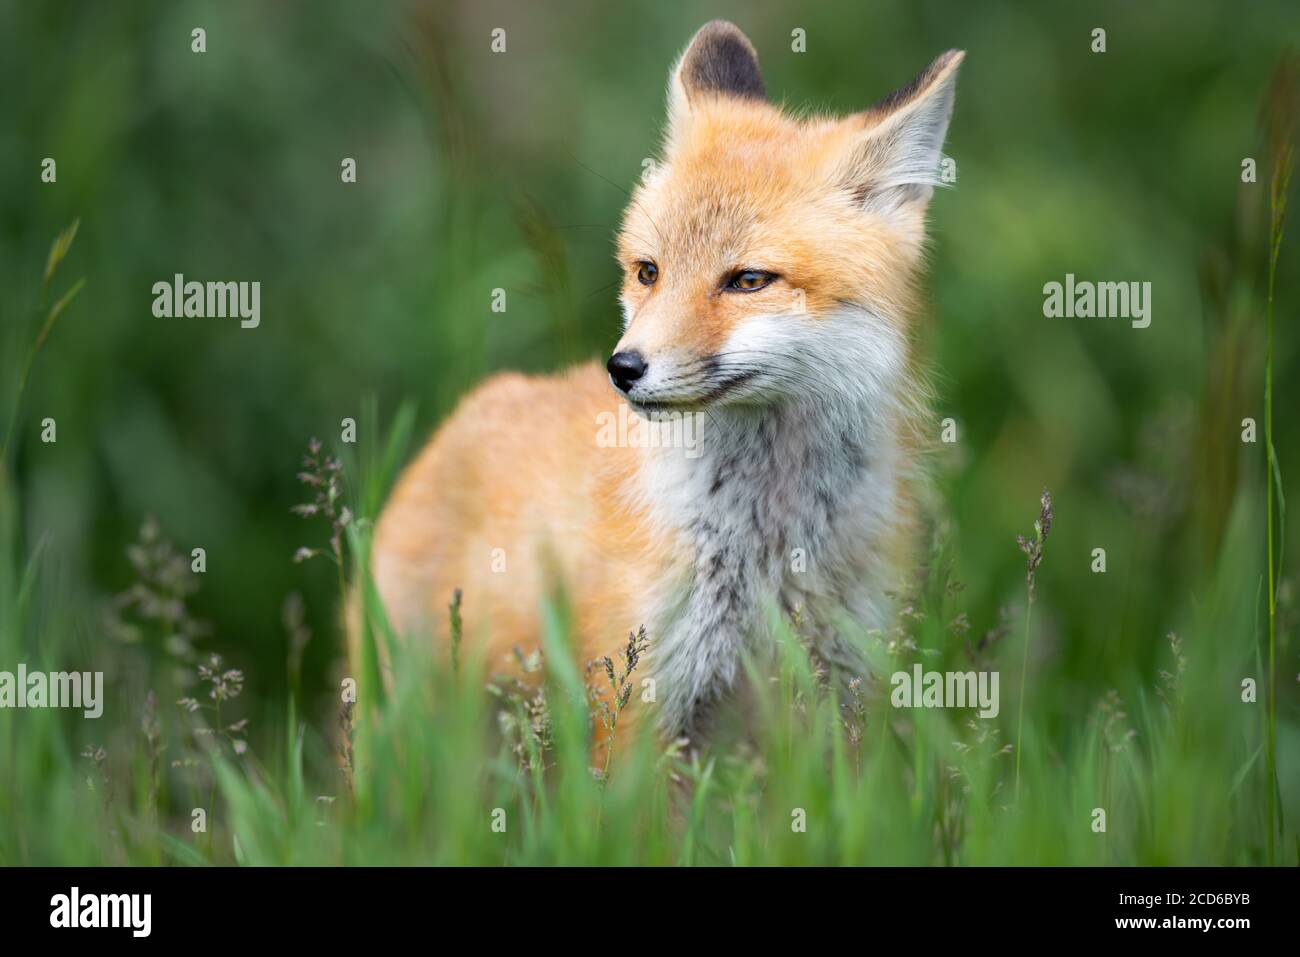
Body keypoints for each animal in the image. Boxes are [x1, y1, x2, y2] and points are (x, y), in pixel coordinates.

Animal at [367, 21, 963, 747]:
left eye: (748, 280)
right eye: (648, 271)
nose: (623, 369)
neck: (765, 546)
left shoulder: (843, 692)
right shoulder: (634, 702)